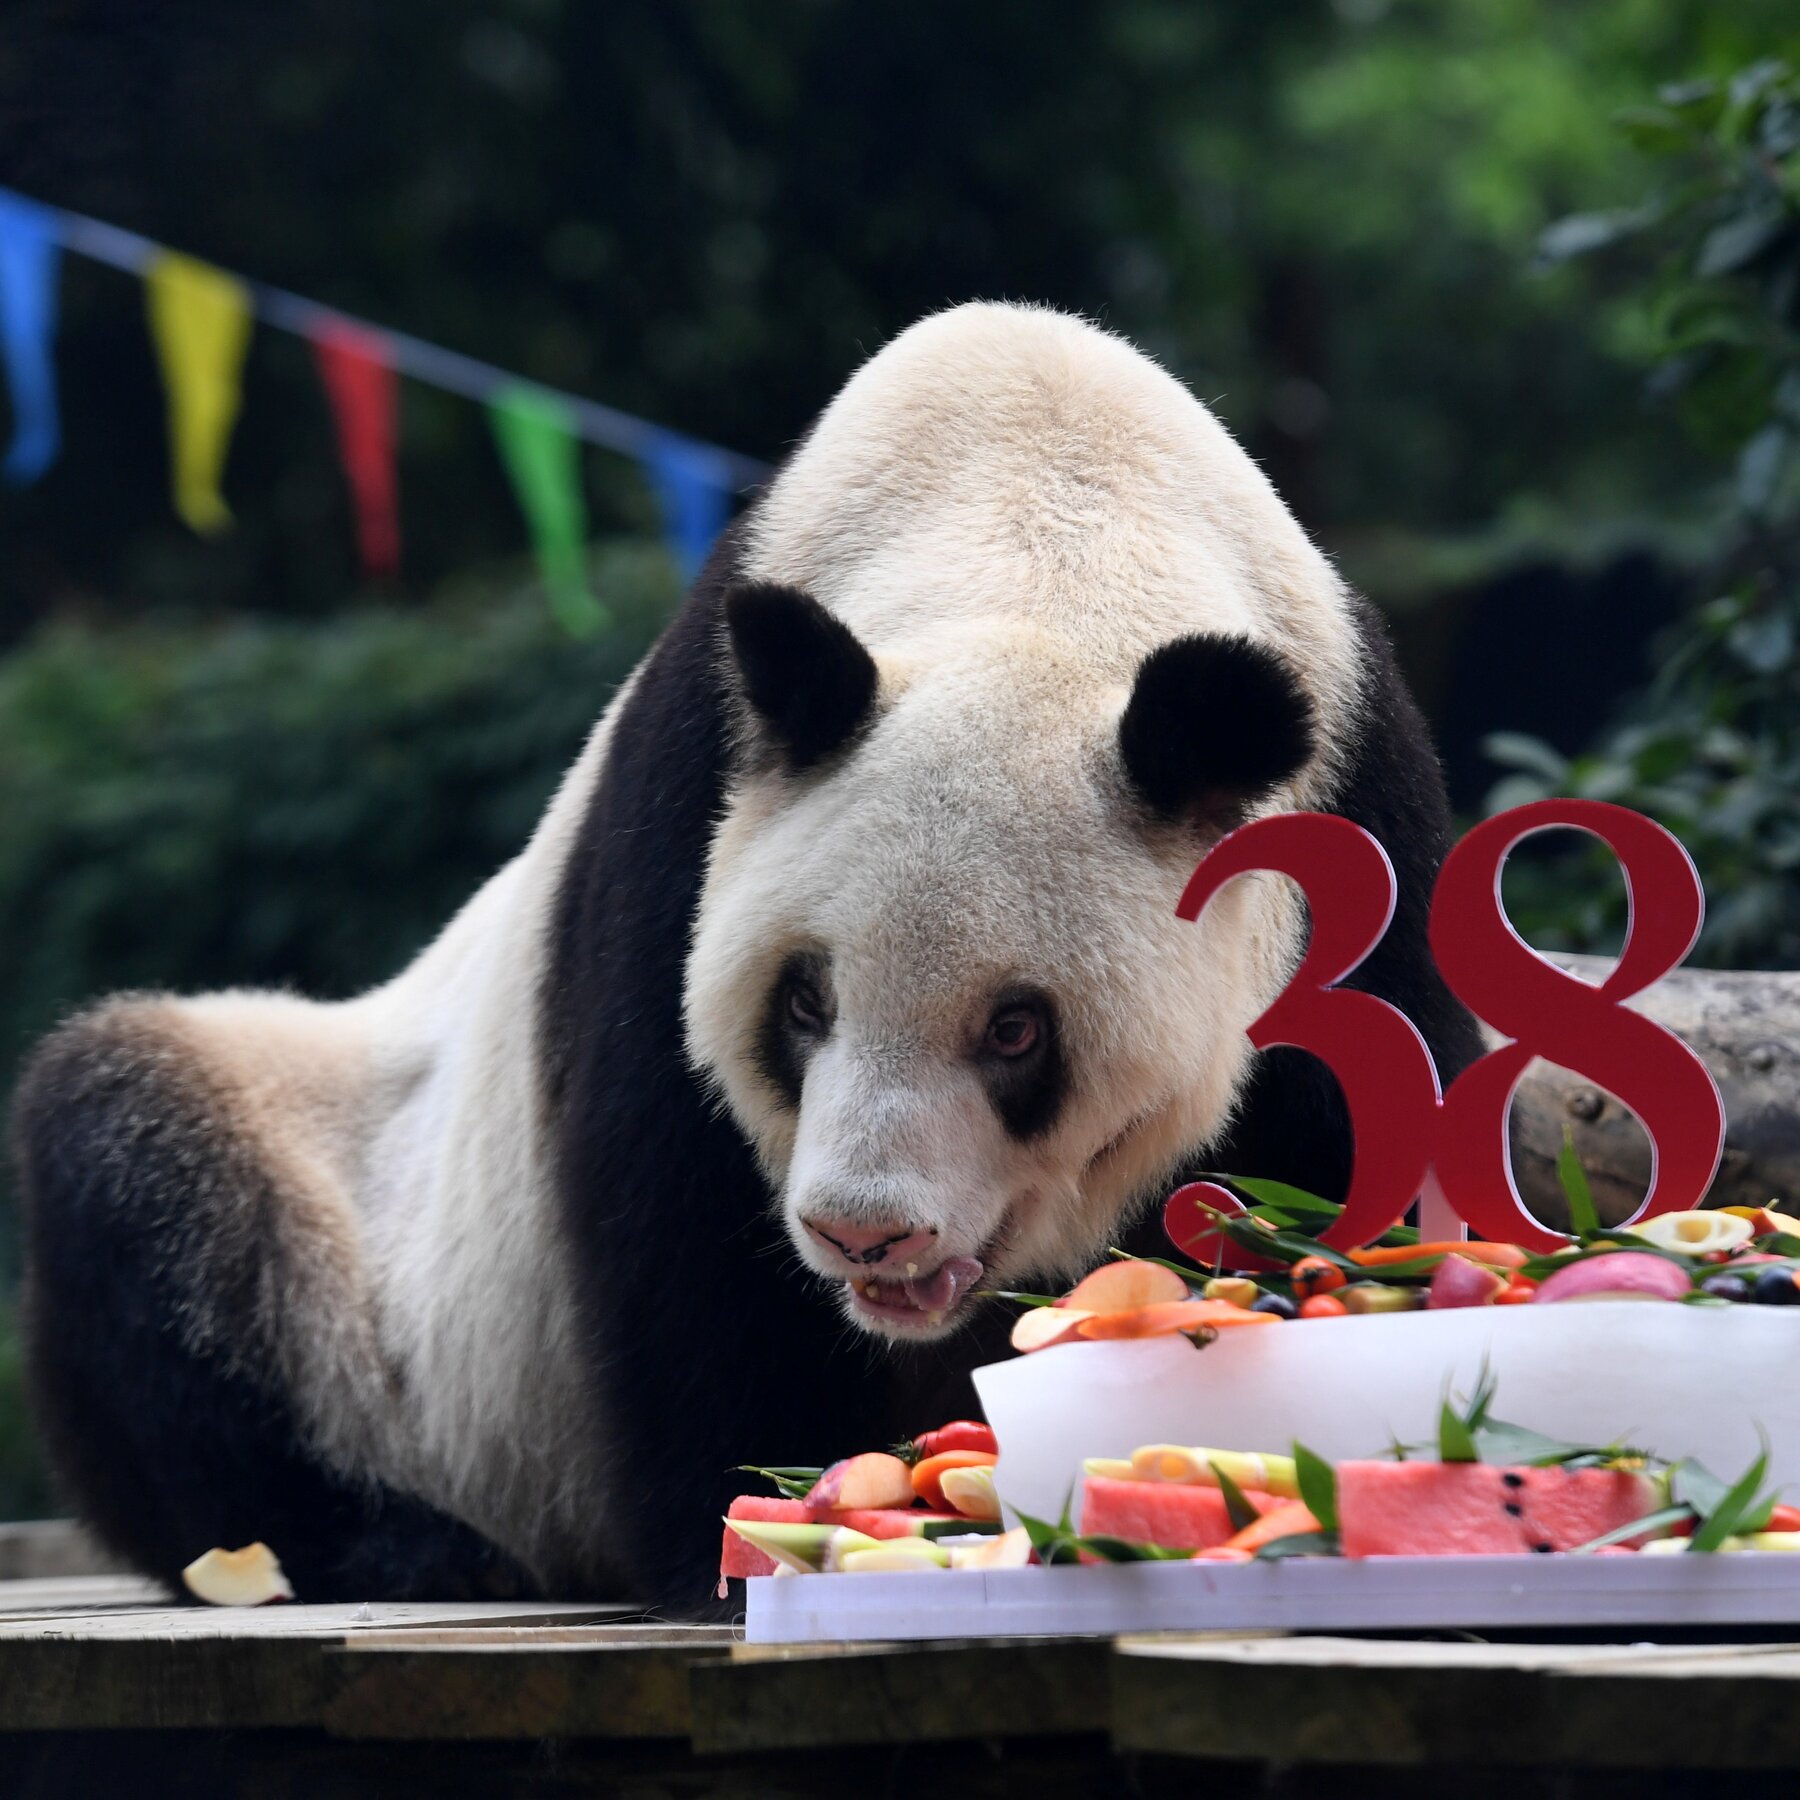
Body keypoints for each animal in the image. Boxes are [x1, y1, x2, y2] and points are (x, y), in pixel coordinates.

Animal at [14, 303, 1481, 1613]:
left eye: (1016, 1029)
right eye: (806, 1000)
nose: (863, 1231)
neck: (1042, 531)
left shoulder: (1355, 809)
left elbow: (1368, 1130)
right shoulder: (695, 803)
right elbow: (679, 1205)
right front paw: (747, 1527)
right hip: (352, 1249)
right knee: (136, 1171)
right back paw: (400, 1547)